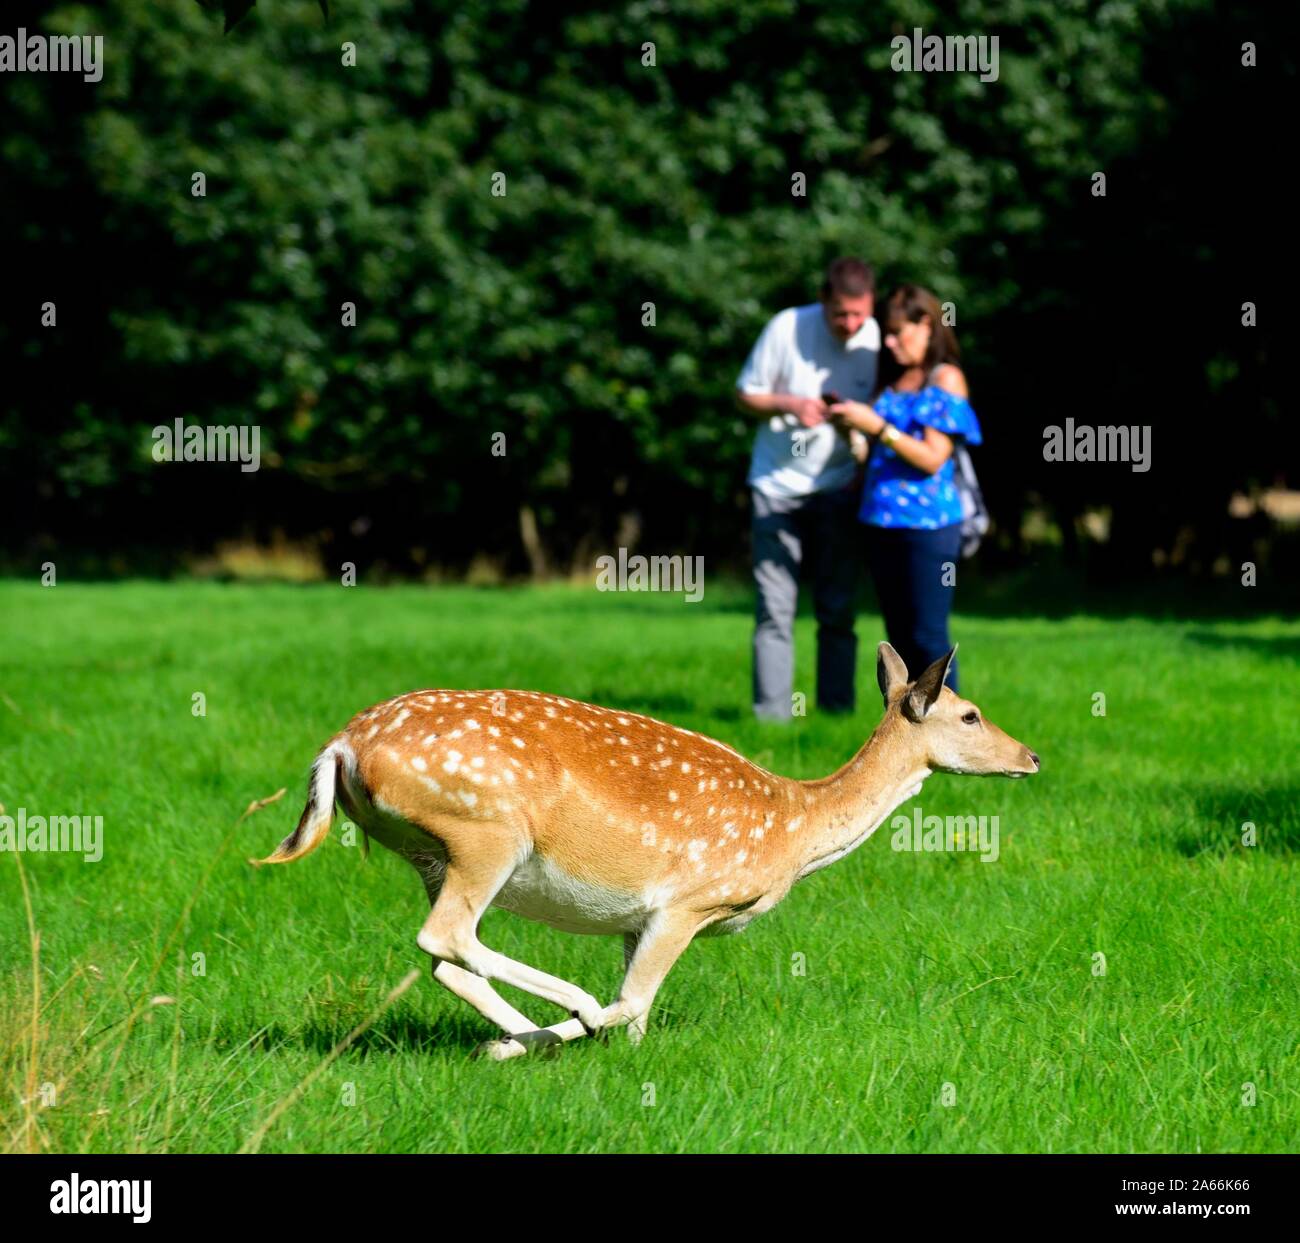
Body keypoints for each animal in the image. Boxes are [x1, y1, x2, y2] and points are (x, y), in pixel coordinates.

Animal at [253, 643, 1039, 1060]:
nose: (1030, 757)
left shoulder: (635, 921)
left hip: (431, 853)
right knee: (446, 936)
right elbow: (636, 1003)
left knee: (445, 955)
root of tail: (342, 745)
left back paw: (517, 1037)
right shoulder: (687, 900)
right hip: (486, 830)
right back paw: (565, 1014)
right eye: (970, 714)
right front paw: (593, 1026)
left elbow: (637, 1007)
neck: (793, 826)